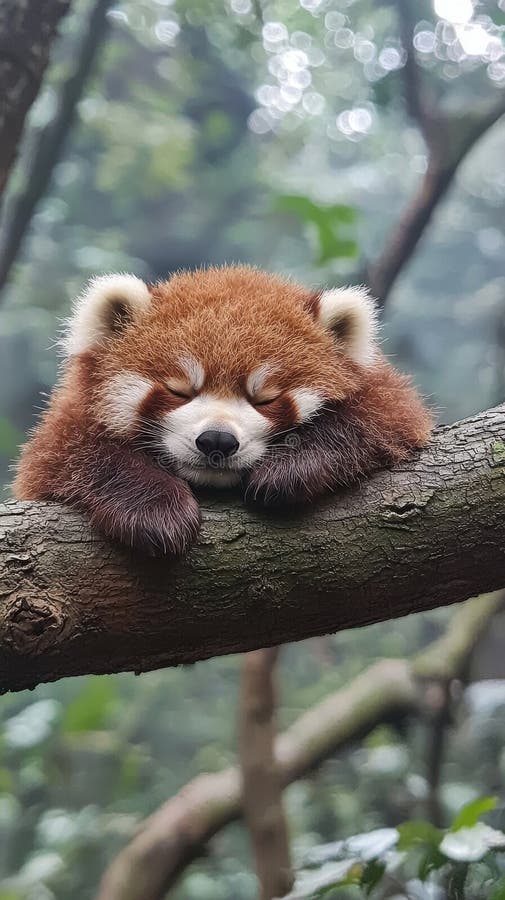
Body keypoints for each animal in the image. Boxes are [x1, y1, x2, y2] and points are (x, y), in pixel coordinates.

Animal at [13, 265, 432, 556]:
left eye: (265, 399)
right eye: (179, 391)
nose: (217, 440)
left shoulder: (388, 397)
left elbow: (381, 416)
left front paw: (288, 469)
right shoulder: (63, 425)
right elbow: (72, 453)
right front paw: (156, 511)